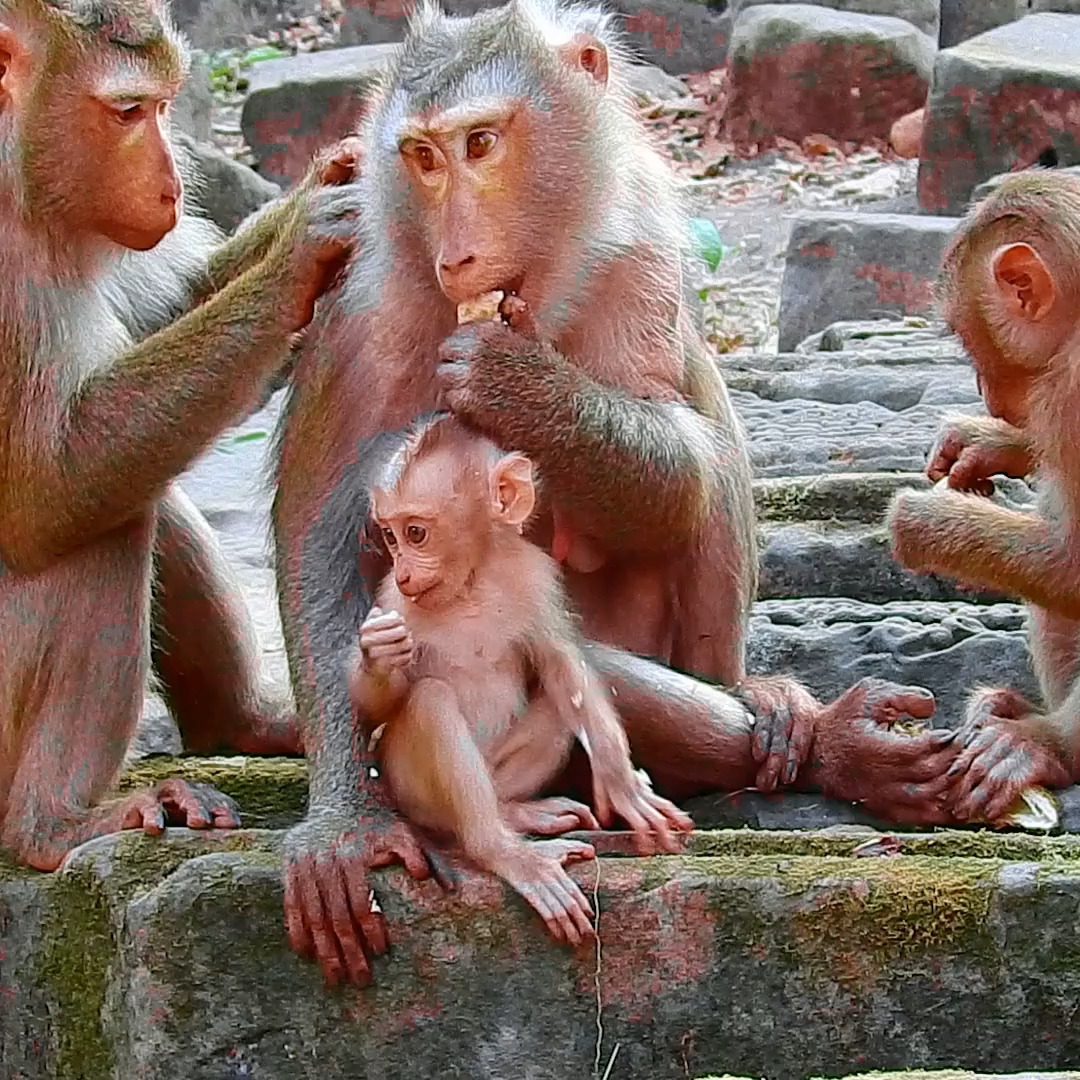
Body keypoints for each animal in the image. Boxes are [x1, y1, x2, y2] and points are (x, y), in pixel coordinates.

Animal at [0, 0, 360, 872]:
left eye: (165, 107)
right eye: (128, 112)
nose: (170, 185)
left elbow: (163, 315)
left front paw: (319, 188)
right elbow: (42, 492)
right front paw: (298, 254)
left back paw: (243, 724)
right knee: (96, 525)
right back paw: (49, 823)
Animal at [348, 414, 694, 944]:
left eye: (416, 533)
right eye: (390, 538)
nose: (404, 570)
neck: (471, 584)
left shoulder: (536, 574)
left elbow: (561, 664)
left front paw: (621, 784)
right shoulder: (394, 602)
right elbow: (378, 706)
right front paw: (377, 654)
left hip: (498, 769)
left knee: (556, 702)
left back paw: (516, 810)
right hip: (411, 791)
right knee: (431, 702)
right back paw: (503, 850)